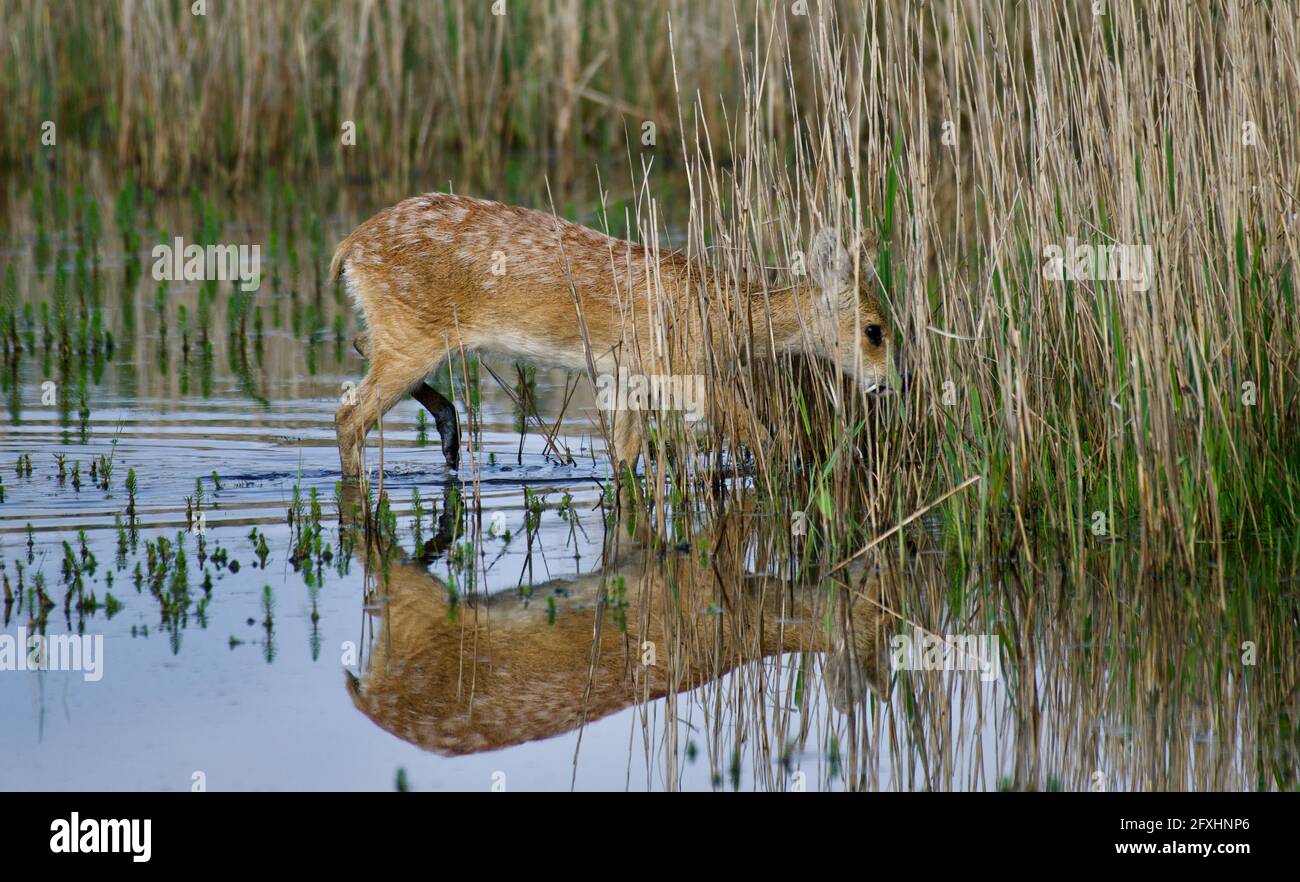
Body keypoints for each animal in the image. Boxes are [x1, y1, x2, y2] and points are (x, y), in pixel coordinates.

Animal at [329, 192, 893, 480]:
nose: (891, 384)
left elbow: (625, 458)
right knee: (349, 415)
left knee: (360, 347)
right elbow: (765, 436)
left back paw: (448, 430)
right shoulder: (684, 372)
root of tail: (348, 247)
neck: (724, 315)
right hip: (413, 332)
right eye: (875, 331)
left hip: (405, 331)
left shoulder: (626, 378)